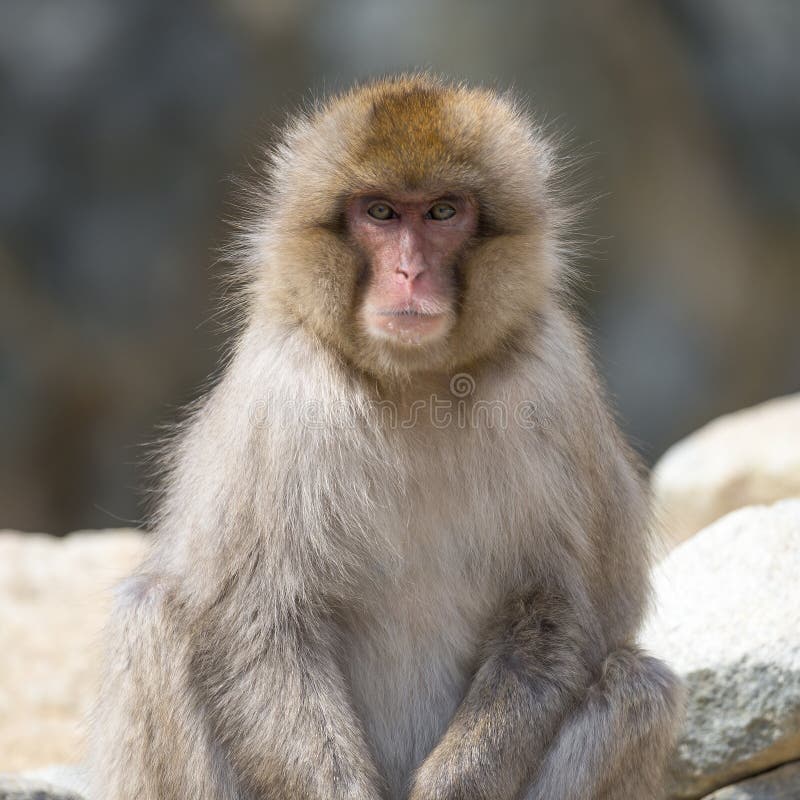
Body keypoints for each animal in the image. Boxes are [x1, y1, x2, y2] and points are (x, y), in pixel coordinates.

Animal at [89, 74, 684, 800]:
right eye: (379, 213)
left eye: (442, 212)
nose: (408, 274)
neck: (413, 384)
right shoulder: (284, 399)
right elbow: (257, 622)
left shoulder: (551, 388)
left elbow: (562, 612)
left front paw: (457, 785)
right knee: (153, 616)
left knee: (640, 687)